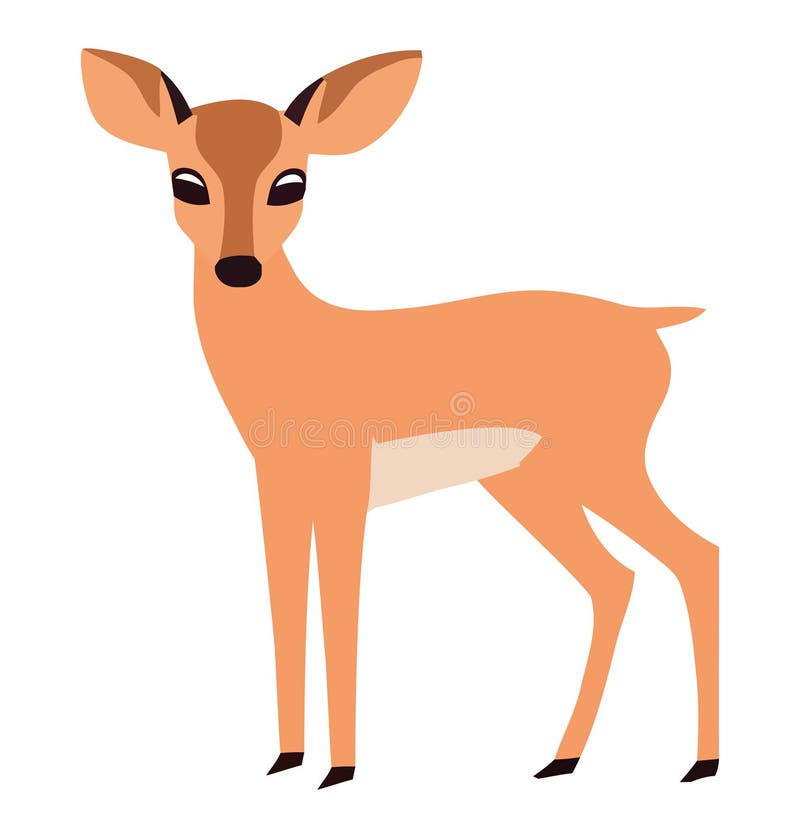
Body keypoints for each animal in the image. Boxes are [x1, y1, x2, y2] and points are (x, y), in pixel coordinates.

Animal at [81, 48, 719, 789]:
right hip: (531, 485)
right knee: (616, 580)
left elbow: (341, 612)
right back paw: (561, 760)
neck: (297, 344)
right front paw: (287, 759)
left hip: (599, 471)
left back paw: (700, 763)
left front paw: (339, 771)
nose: (238, 267)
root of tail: (645, 319)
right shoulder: (279, 496)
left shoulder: (345, 497)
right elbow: (286, 608)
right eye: (186, 179)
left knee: (696, 556)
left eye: (290, 181)